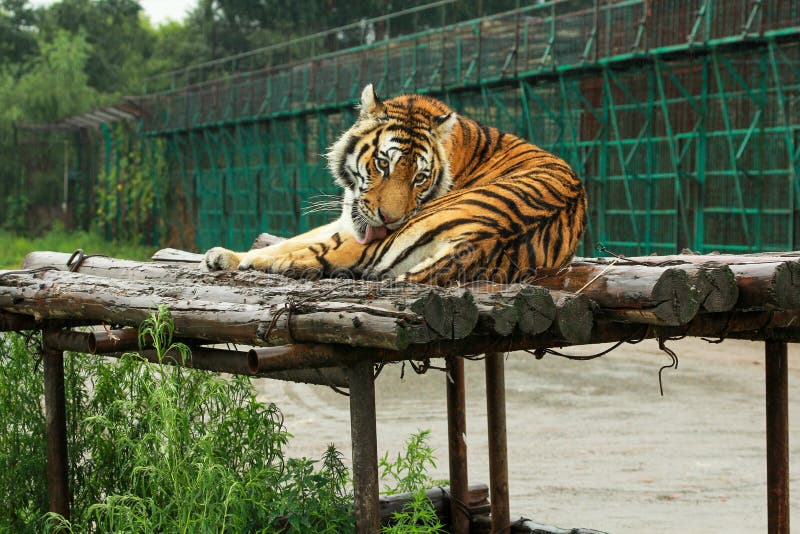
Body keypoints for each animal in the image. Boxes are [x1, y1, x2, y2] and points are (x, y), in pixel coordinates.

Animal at [202, 84, 587, 285]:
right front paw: (223, 255)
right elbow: (297, 237)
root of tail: (484, 239)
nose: (390, 219)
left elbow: (295, 244)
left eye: (419, 177)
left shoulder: (355, 230)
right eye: (382, 164)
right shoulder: (348, 219)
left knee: (315, 258)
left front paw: (239, 258)